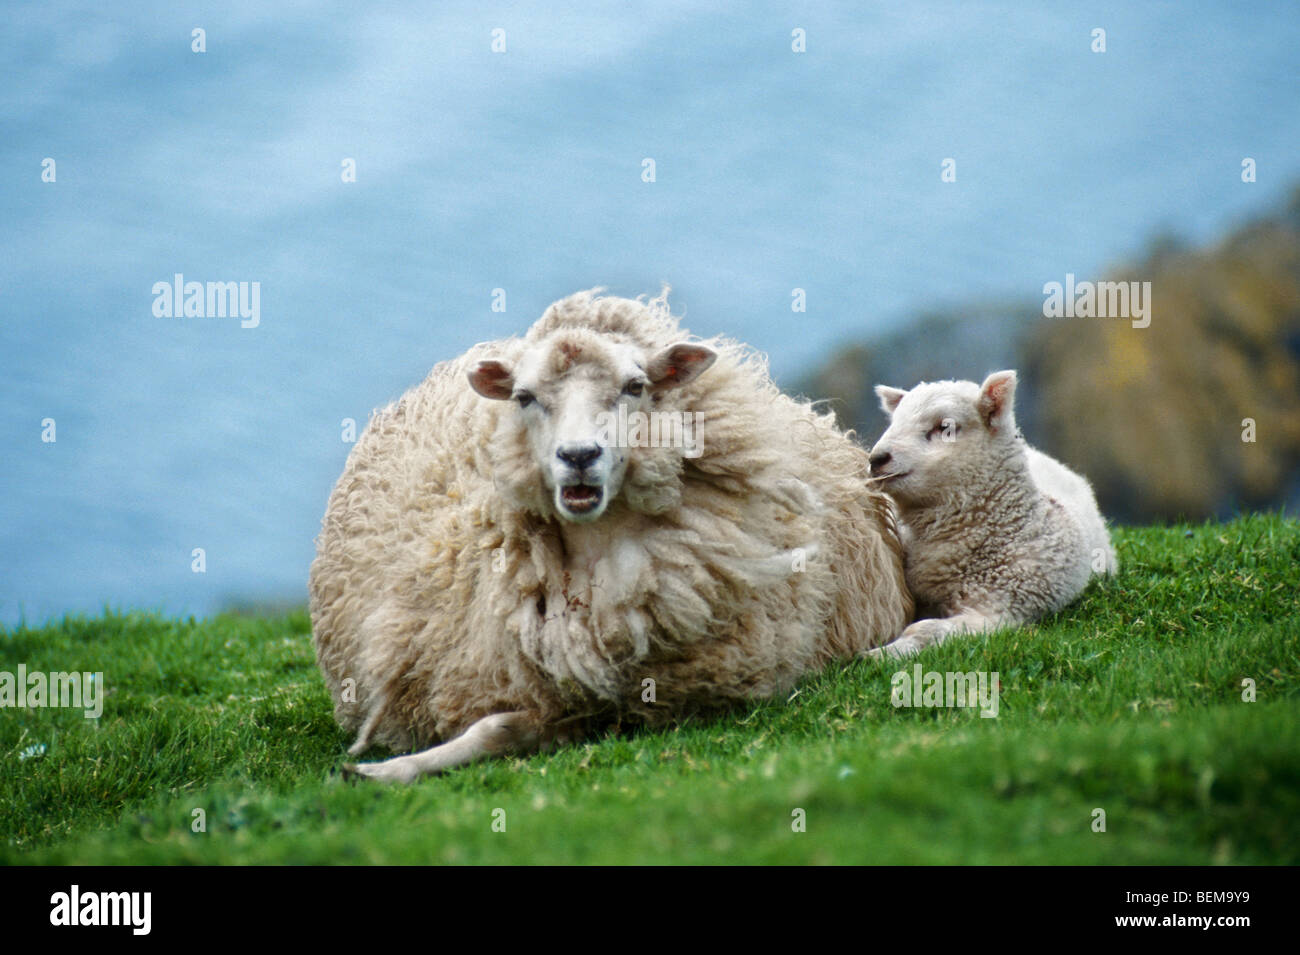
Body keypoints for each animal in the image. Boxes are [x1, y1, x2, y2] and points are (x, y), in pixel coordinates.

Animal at [309, 289, 912, 782]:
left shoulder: (652, 701)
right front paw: (382, 769)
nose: (578, 456)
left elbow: (502, 729)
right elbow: (495, 727)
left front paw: (382, 771)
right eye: (524, 397)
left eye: (635, 386)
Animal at [865, 370, 1117, 658]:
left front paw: (878, 656)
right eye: (895, 421)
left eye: (945, 427)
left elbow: (925, 630)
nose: (876, 459)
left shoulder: (1003, 607)